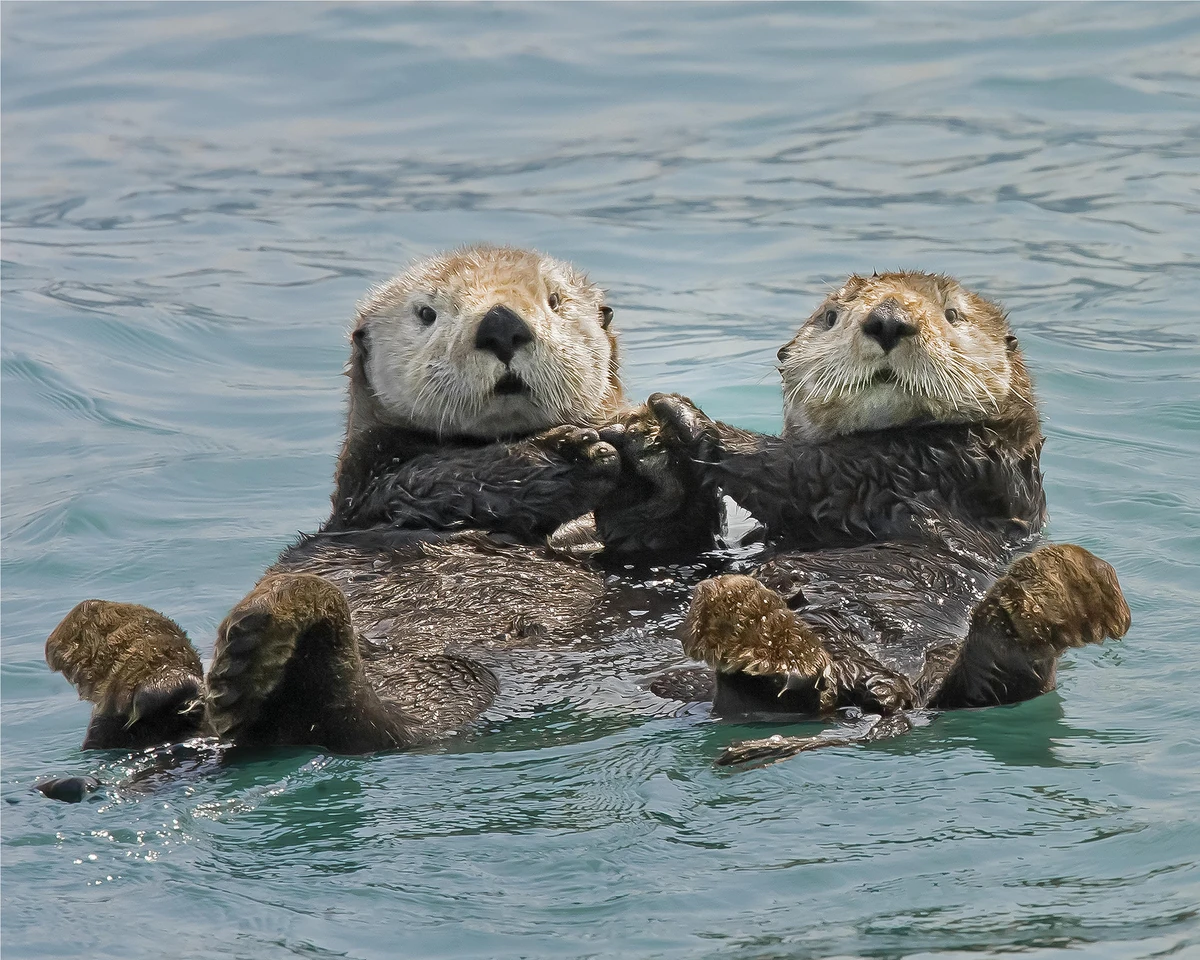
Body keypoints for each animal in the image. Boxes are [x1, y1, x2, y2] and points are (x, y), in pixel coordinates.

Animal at [44, 246, 723, 770]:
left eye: (555, 301)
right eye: (427, 313)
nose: (502, 325)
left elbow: (659, 537)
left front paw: (655, 449)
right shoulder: (377, 484)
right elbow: (445, 480)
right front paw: (573, 455)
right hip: (428, 676)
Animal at [643, 272, 1130, 765]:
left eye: (953, 314)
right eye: (831, 316)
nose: (889, 320)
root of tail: (891, 696)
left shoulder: (932, 469)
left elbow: (797, 470)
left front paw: (680, 413)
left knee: (998, 685)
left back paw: (1054, 596)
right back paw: (752, 629)